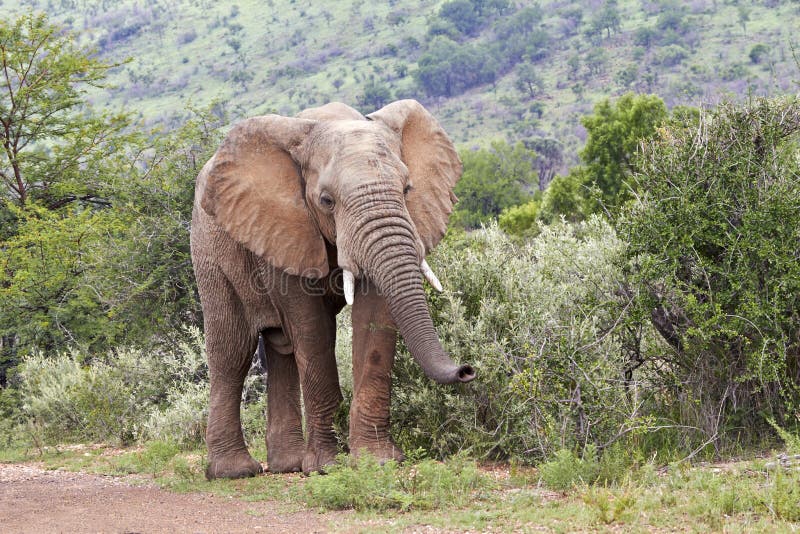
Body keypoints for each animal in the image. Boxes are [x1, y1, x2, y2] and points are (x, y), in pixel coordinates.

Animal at [190, 99, 475, 479]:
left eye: (407, 190)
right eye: (326, 200)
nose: (467, 370)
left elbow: (374, 321)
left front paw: (376, 460)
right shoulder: (284, 227)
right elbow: (311, 329)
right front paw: (326, 466)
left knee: (281, 349)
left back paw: (287, 465)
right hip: (209, 249)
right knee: (232, 350)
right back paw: (235, 472)